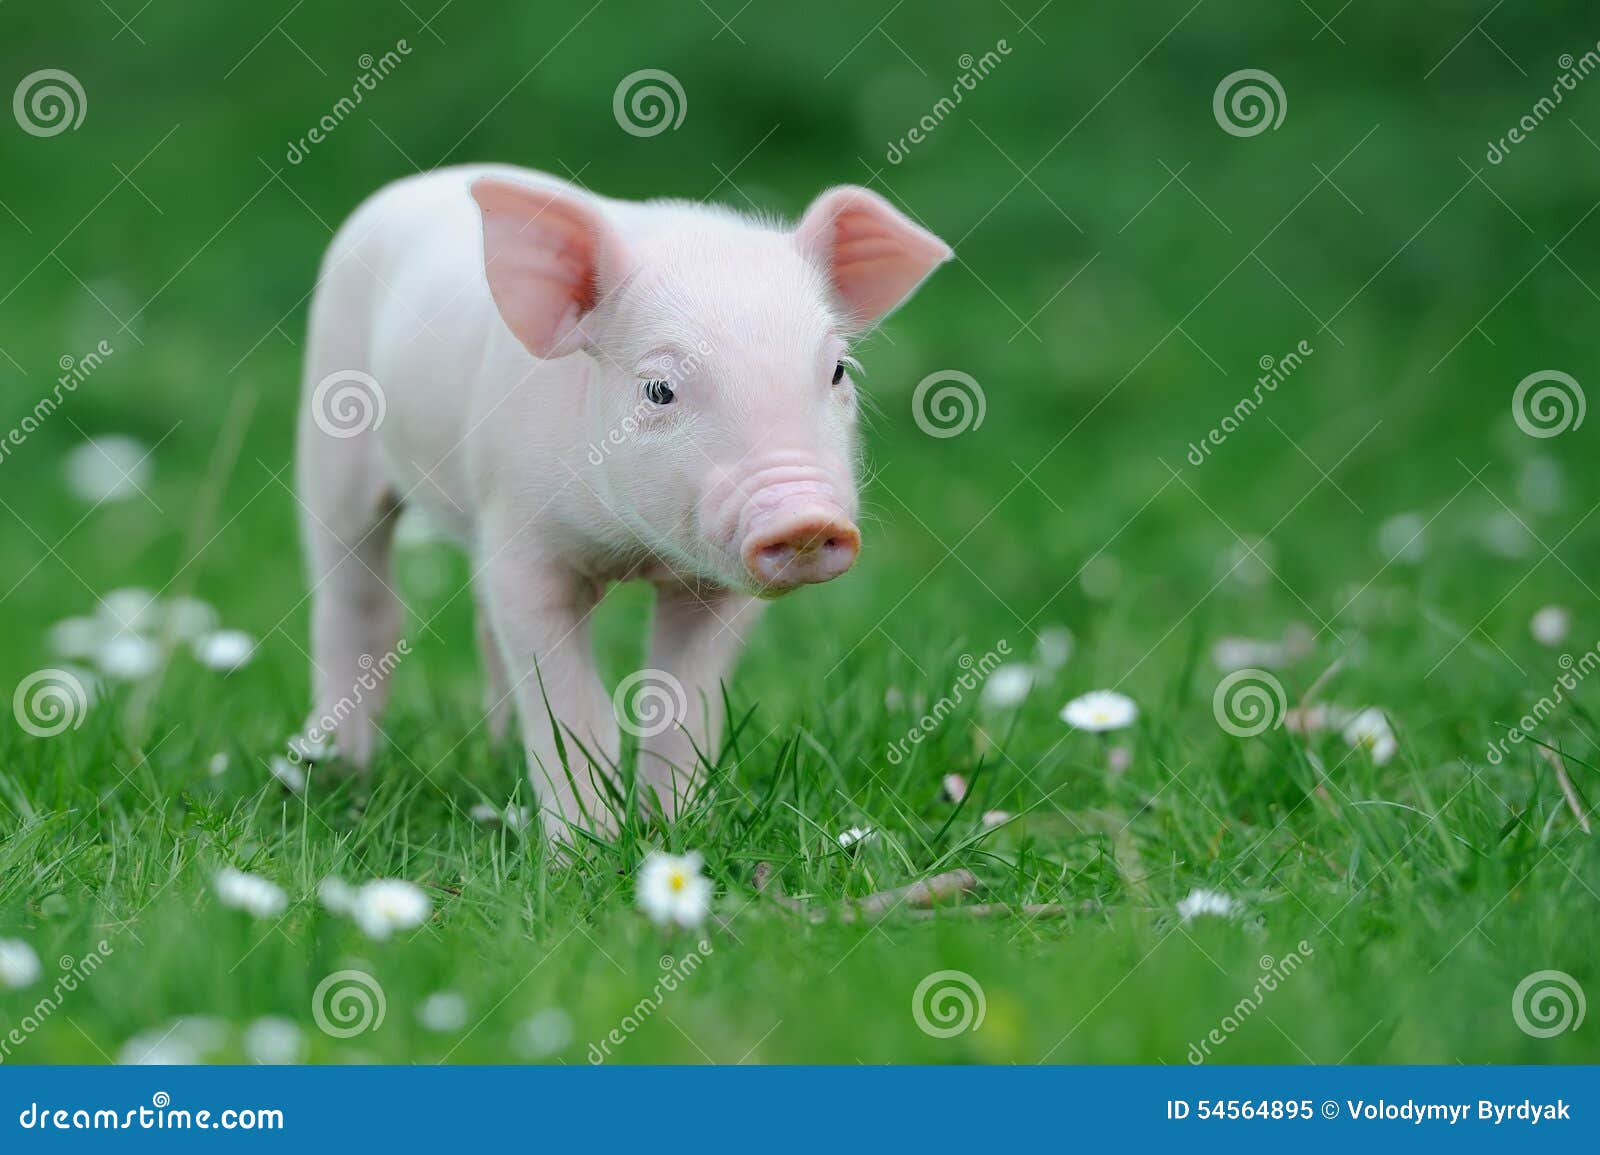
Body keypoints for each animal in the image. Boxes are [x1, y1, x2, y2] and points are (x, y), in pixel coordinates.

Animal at [295, 164, 951, 842]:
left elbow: (684, 703)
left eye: (839, 371)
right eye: (659, 389)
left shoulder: (715, 592)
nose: (804, 516)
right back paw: (340, 771)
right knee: (356, 599)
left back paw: (494, 760)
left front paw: (677, 834)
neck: (633, 550)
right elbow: (567, 701)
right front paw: (585, 847)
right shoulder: (523, 540)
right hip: (330, 430)